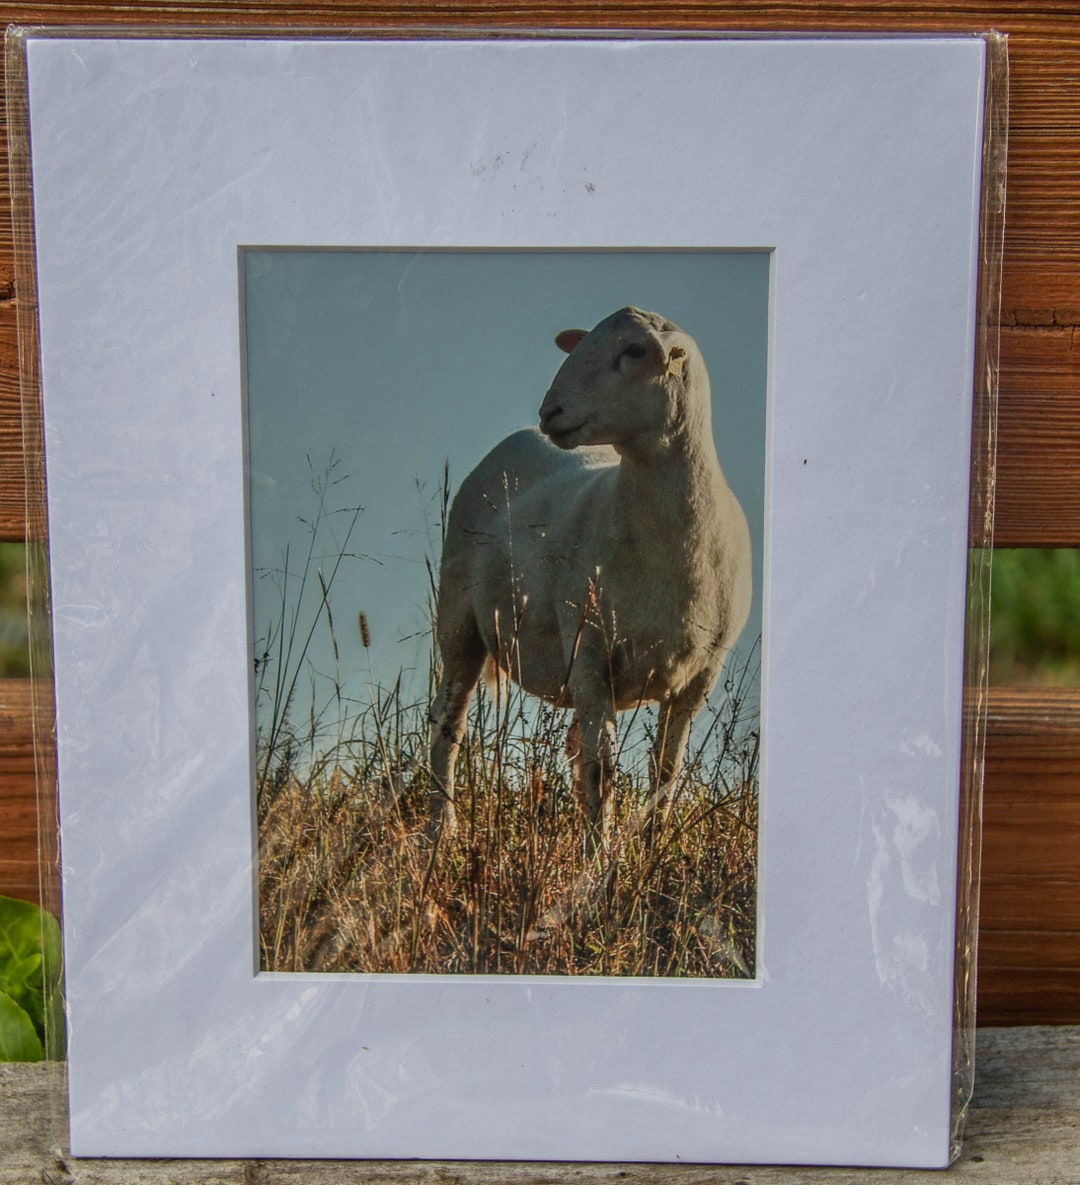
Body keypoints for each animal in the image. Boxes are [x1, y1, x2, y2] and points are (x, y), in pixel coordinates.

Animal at [428, 306, 752, 840]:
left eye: (634, 351)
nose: (550, 412)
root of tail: (519, 436)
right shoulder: (589, 653)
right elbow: (604, 770)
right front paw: (599, 854)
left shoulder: (699, 676)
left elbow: (665, 772)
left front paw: (651, 845)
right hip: (459, 622)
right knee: (447, 724)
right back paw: (441, 829)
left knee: (574, 747)